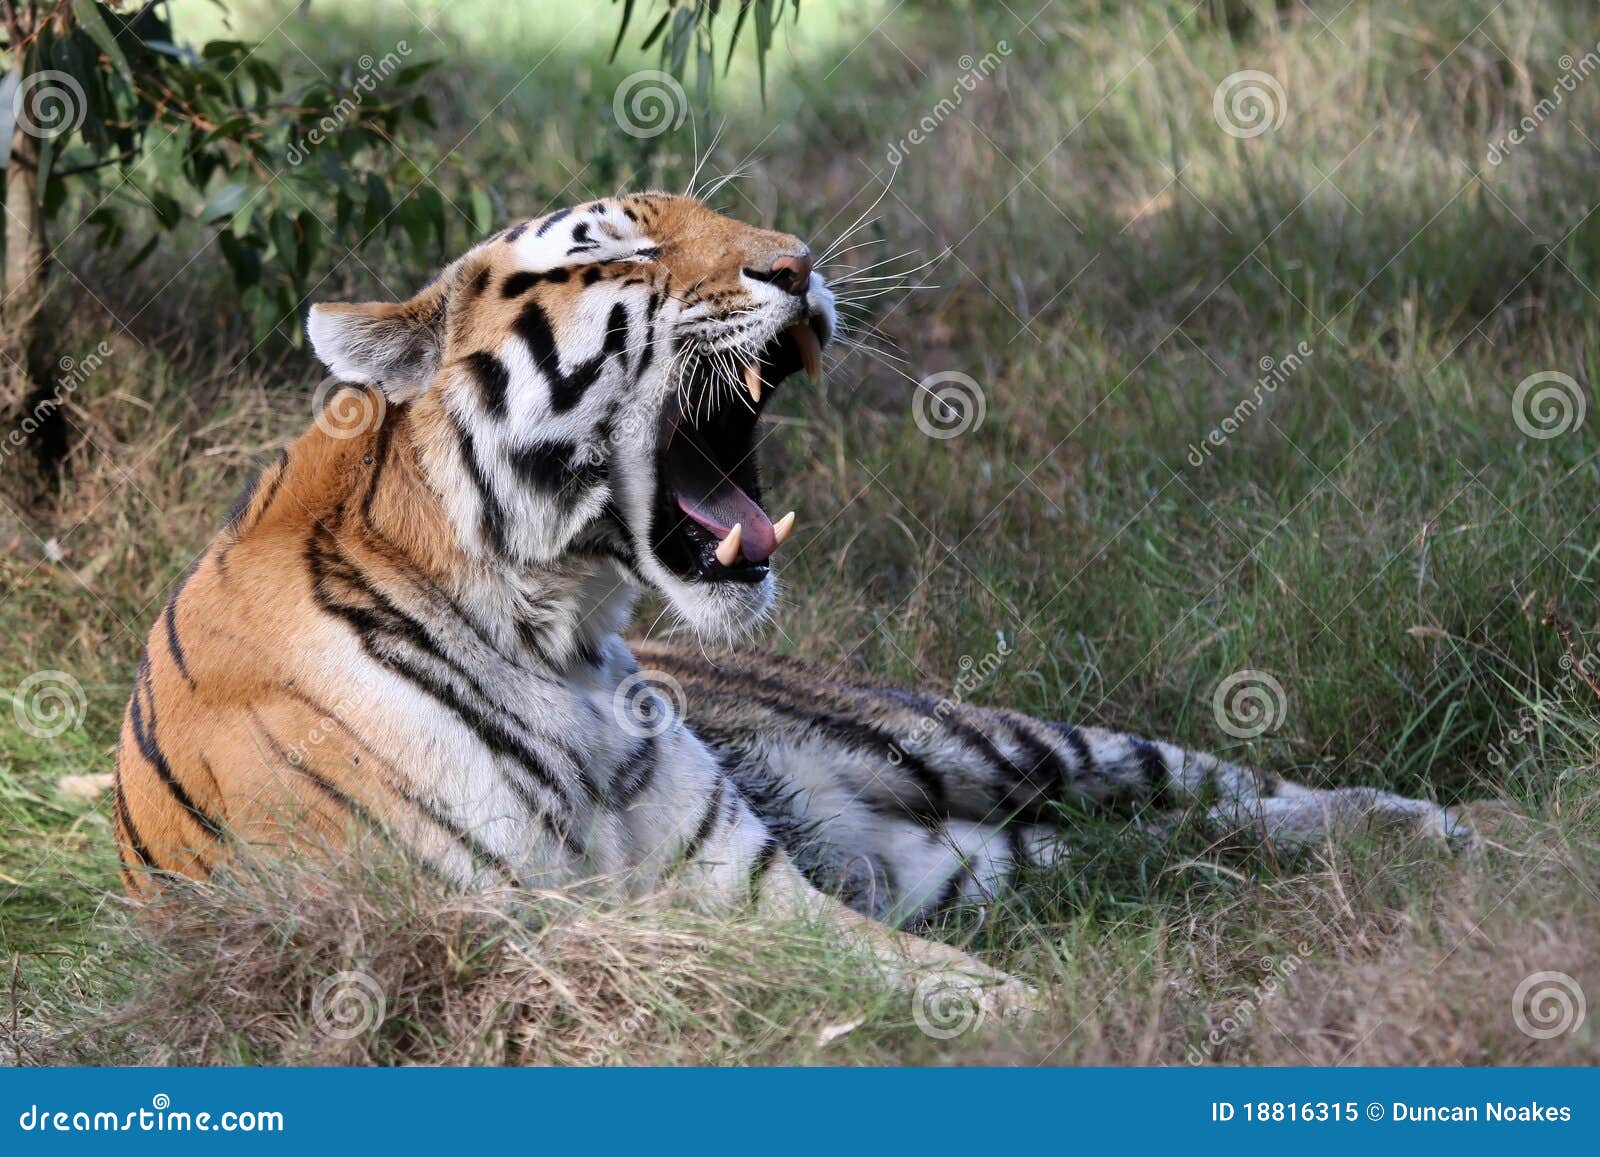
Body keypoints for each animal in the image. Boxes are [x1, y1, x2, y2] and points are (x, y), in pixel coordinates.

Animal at [113, 192, 1470, 1013]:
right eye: (613, 251)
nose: (801, 265)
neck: (564, 638)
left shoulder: (750, 891)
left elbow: (930, 976)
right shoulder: (505, 929)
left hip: (987, 738)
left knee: (1231, 789)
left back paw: (1460, 832)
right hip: (997, 847)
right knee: (1165, 845)